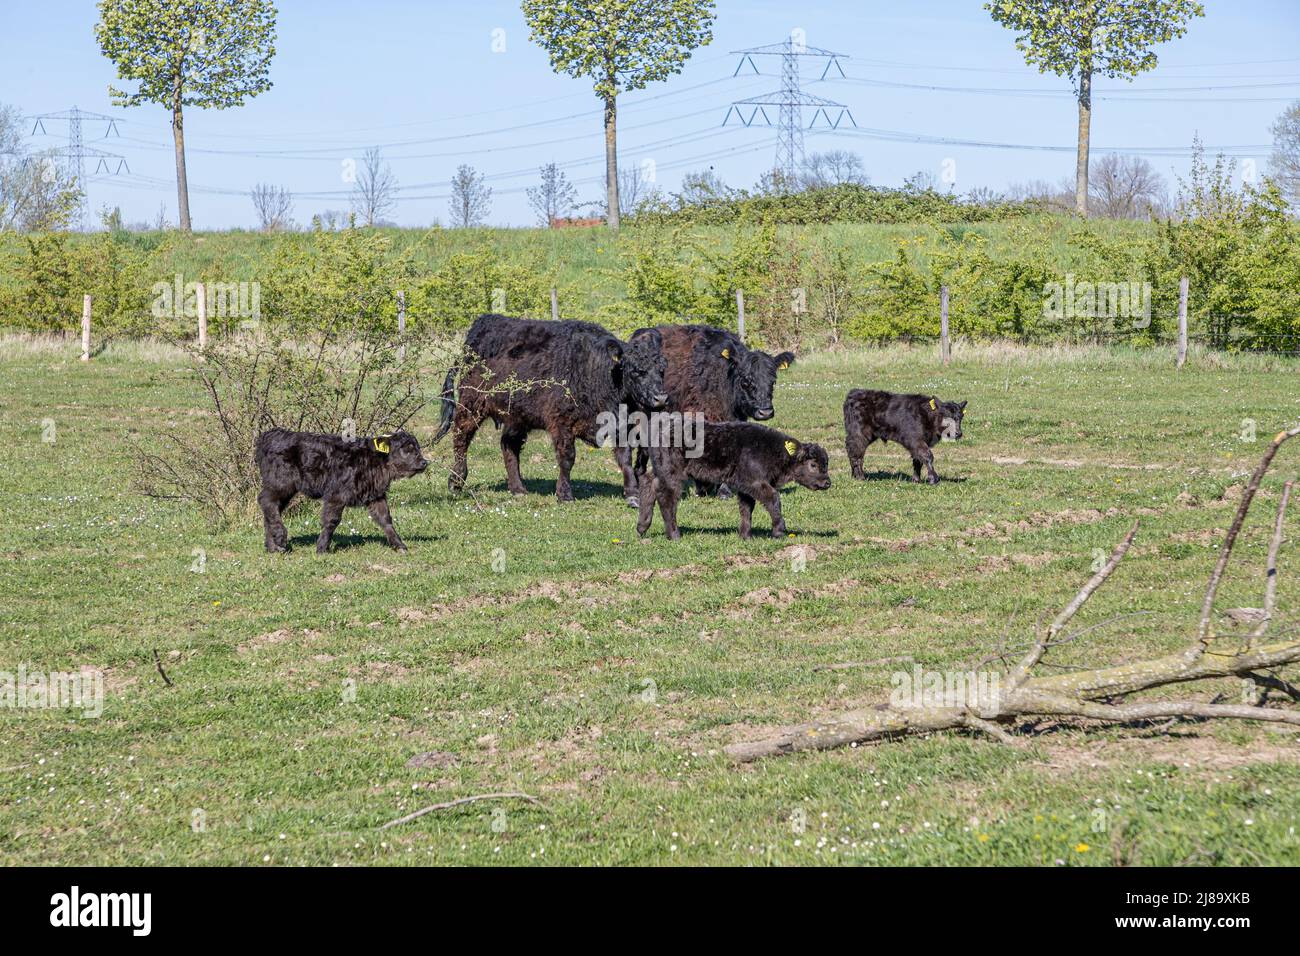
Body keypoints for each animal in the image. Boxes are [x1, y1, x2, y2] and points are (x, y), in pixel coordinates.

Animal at [254, 428, 429, 554]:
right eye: (406, 448)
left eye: (417, 447)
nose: (424, 462)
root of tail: (272, 434)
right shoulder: (336, 494)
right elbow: (331, 520)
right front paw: (322, 548)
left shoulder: (376, 495)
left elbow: (385, 519)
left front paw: (400, 546)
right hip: (281, 482)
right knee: (266, 500)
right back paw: (280, 537)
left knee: (271, 508)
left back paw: (274, 547)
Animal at [434, 314, 667, 503]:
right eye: (637, 370)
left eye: (662, 369)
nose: (660, 397)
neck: (599, 372)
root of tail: (482, 323)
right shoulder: (562, 423)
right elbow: (567, 458)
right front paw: (565, 494)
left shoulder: (621, 426)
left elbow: (625, 458)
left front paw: (633, 494)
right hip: (472, 404)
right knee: (461, 438)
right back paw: (456, 481)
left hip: (517, 416)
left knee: (509, 445)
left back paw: (518, 488)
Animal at [636, 421, 831, 540]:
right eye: (813, 464)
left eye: (826, 463)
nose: (827, 482)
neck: (774, 451)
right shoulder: (755, 482)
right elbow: (773, 498)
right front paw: (778, 531)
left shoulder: (745, 487)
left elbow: (746, 509)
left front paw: (745, 536)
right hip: (672, 474)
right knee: (666, 497)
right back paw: (674, 534)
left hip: (660, 470)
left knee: (648, 483)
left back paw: (642, 527)